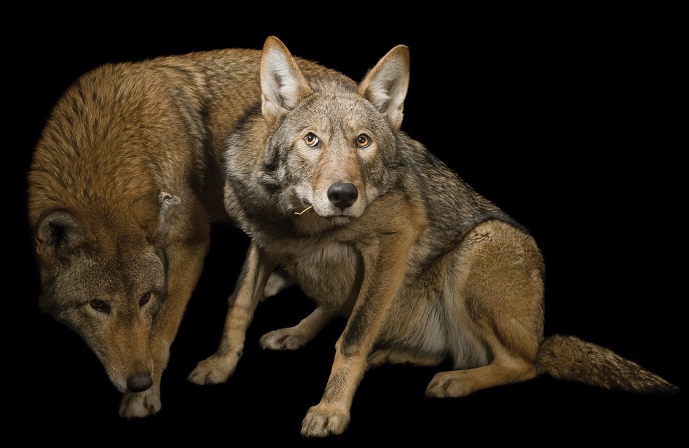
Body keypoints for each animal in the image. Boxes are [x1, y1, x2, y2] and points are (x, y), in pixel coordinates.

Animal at [26, 44, 343, 418]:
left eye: (145, 298)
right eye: (98, 305)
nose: (139, 381)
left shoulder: (190, 239)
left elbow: (161, 332)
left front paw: (144, 397)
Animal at [188, 36, 679, 437]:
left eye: (363, 141)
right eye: (312, 140)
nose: (343, 195)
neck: (302, 223)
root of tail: (541, 335)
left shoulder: (394, 241)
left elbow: (353, 337)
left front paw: (331, 410)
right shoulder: (264, 241)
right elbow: (239, 305)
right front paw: (219, 364)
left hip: (479, 248)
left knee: (520, 363)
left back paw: (456, 379)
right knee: (384, 325)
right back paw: (341, 342)